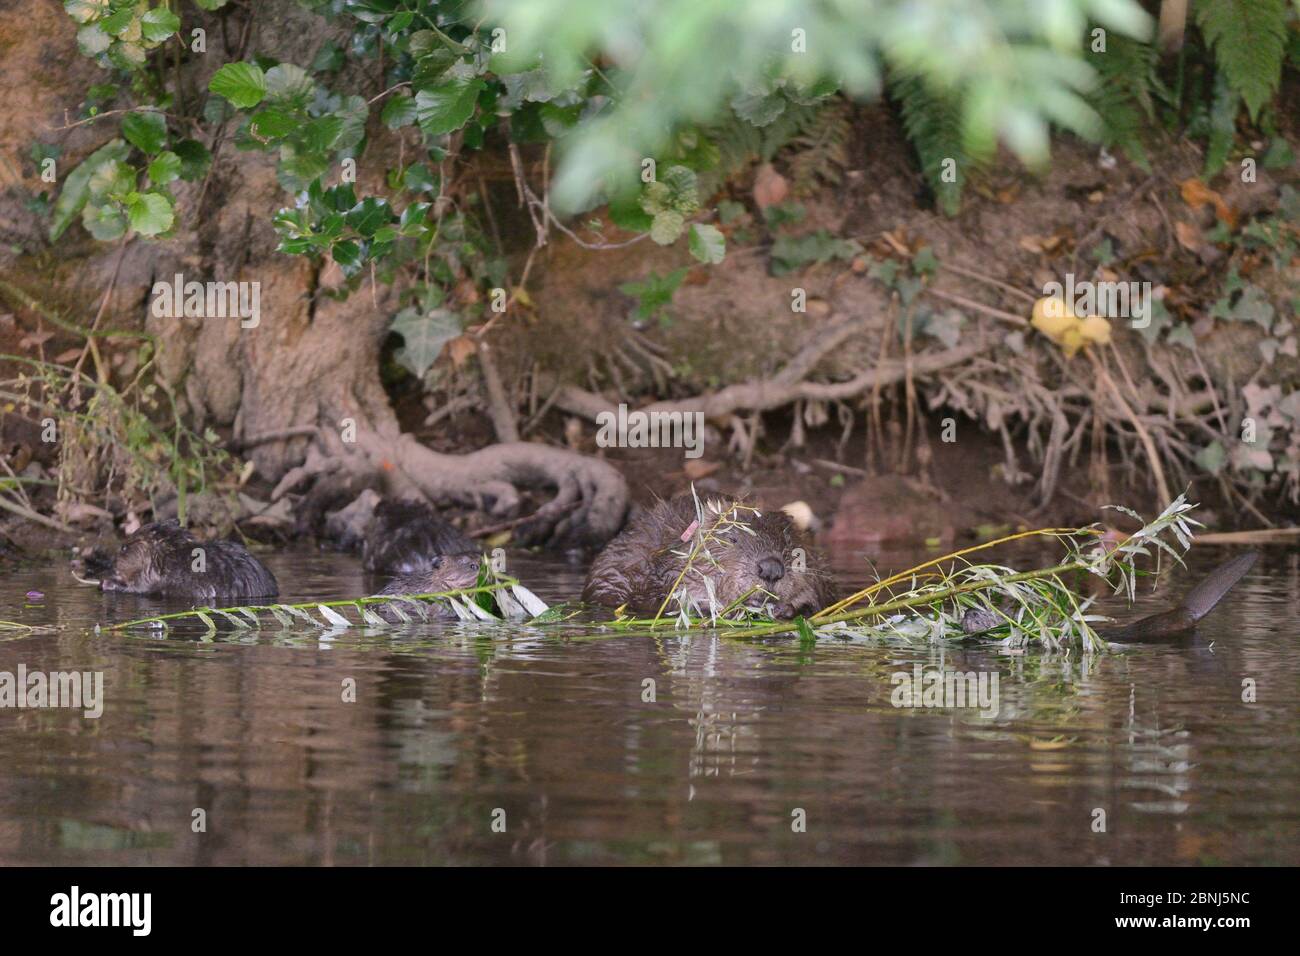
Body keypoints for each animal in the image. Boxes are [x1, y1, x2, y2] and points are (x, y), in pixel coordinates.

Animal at [583, 495, 833, 619]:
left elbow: (818, 597)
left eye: (788, 542)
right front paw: (734, 607)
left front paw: (787, 608)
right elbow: (674, 598)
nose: (771, 569)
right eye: (732, 538)